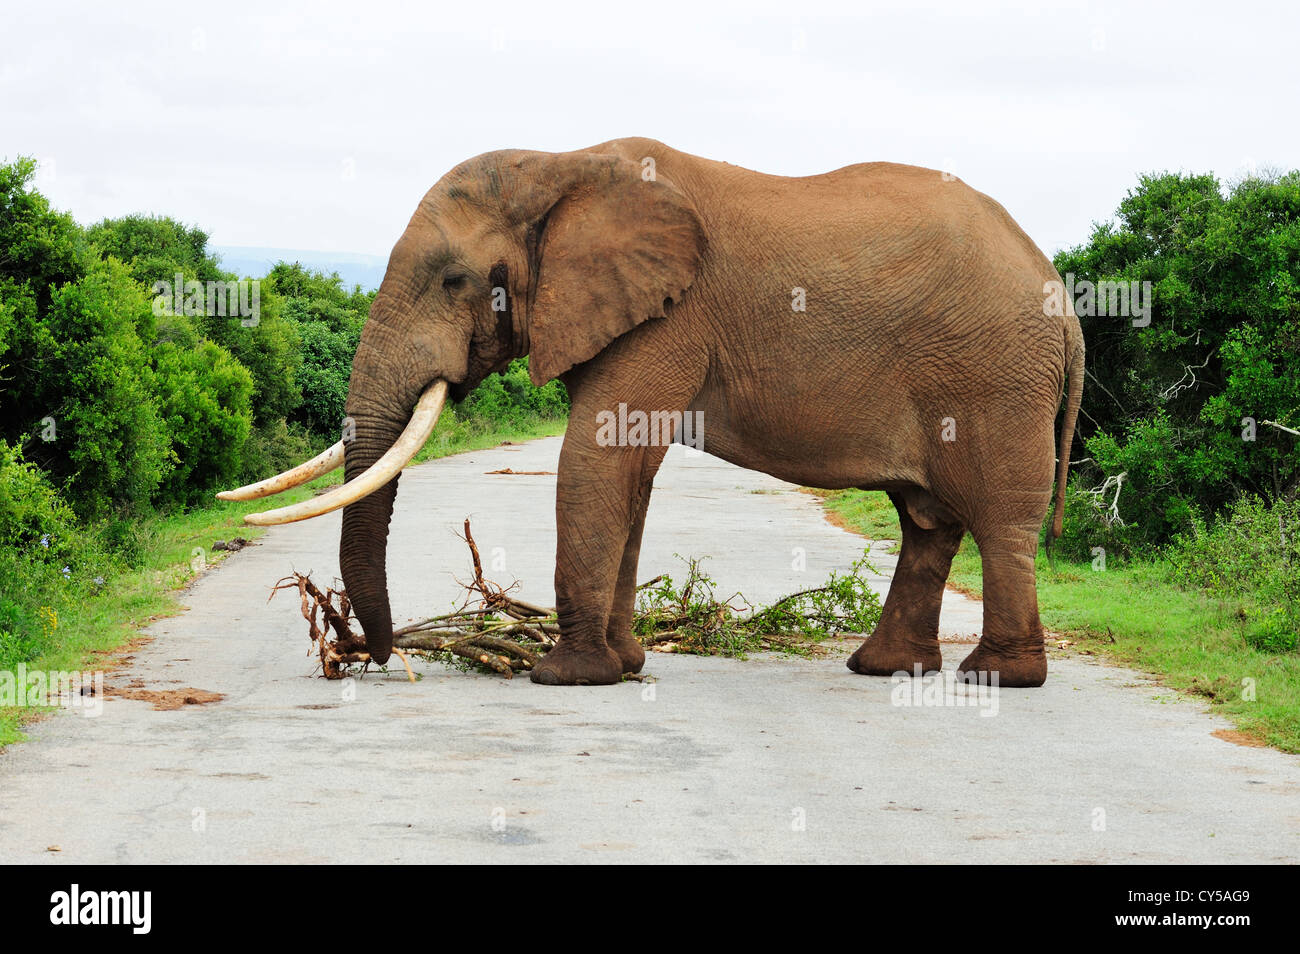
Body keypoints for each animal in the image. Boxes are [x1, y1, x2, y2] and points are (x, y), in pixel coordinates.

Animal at [219, 137, 1084, 689]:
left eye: (455, 282)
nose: (367, 655)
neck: (562, 165)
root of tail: (1064, 297)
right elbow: (628, 473)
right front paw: (626, 666)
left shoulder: (668, 318)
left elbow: (594, 460)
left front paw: (566, 677)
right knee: (927, 522)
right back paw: (887, 669)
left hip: (994, 376)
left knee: (999, 520)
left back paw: (996, 677)